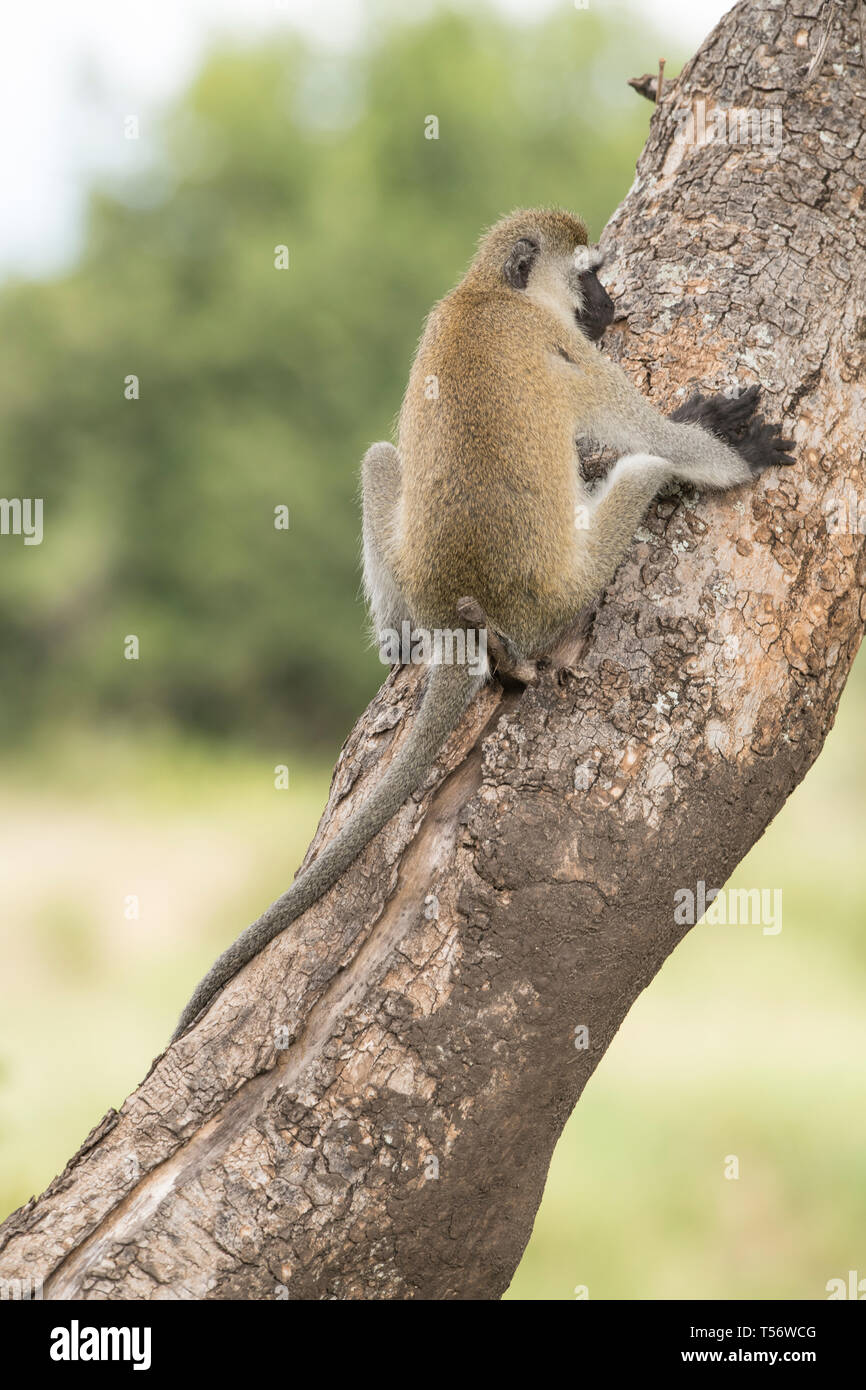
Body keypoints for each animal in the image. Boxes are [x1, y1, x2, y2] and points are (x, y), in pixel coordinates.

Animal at [171, 207, 794, 1042]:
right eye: (589, 273)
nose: (608, 306)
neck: (484, 292)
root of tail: (464, 617)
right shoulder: (564, 349)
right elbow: (662, 440)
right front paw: (728, 444)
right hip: (562, 591)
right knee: (644, 469)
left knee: (380, 458)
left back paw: (401, 639)